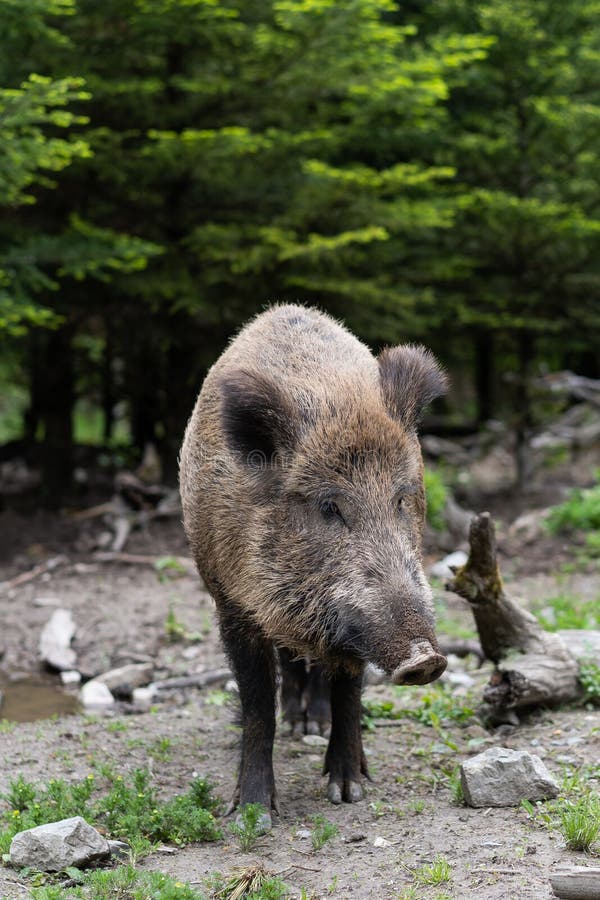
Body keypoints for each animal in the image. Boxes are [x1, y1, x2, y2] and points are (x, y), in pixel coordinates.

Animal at [179, 304, 448, 826]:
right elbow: (257, 704)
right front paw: (253, 814)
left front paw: (348, 791)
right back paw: (296, 725)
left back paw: (313, 724)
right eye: (329, 506)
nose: (425, 660)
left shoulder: (354, 624)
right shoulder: (233, 604)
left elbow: (349, 688)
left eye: (401, 498)